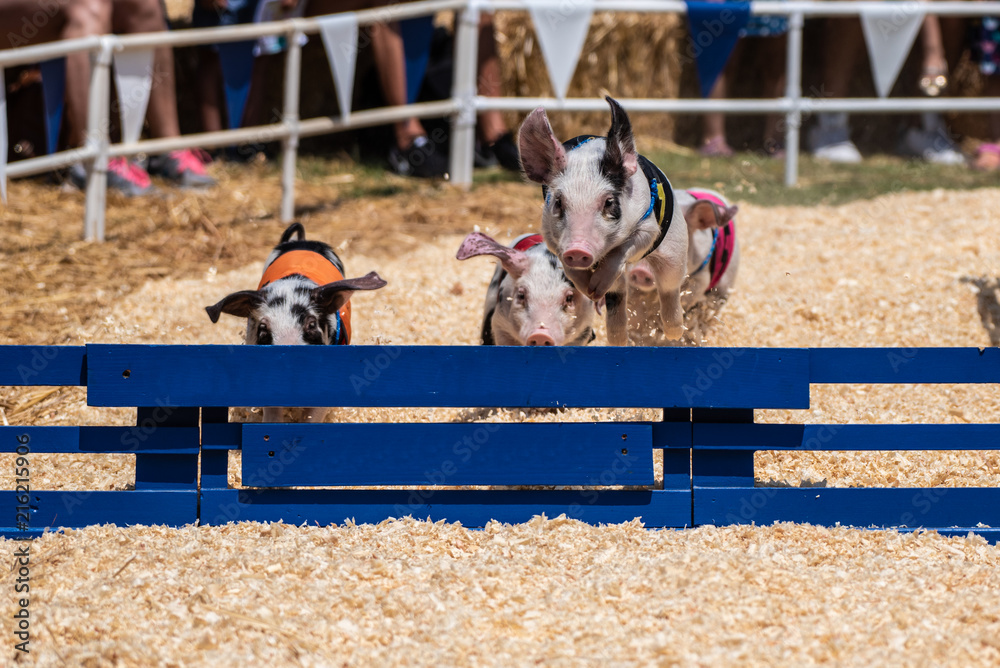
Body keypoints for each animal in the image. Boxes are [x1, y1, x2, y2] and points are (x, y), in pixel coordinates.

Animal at [518, 96, 687, 345]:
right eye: (558, 202)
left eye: (608, 202)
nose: (578, 249)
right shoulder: (550, 235)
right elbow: (567, 266)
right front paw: (589, 290)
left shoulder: (648, 226)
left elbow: (624, 249)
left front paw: (594, 287)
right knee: (619, 293)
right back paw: (617, 336)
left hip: (675, 248)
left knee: (669, 286)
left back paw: (674, 333)